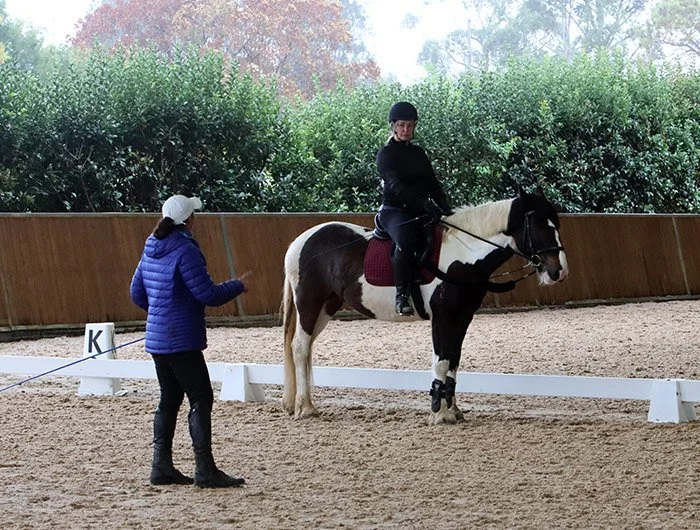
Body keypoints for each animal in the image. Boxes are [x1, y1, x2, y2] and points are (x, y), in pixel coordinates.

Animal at [281, 186, 569, 424]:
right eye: (539, 224)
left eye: (556, 223)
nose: (558, 271)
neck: (463, 255)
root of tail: (299, 241)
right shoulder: (443, 316)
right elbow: (441, 361)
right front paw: (439, 414)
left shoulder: (461, 317)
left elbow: (453, 361)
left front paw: (453, 410)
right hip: (310, 303)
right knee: (300, 347)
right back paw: (305, 408)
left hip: (327, 306)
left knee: (306, 348)